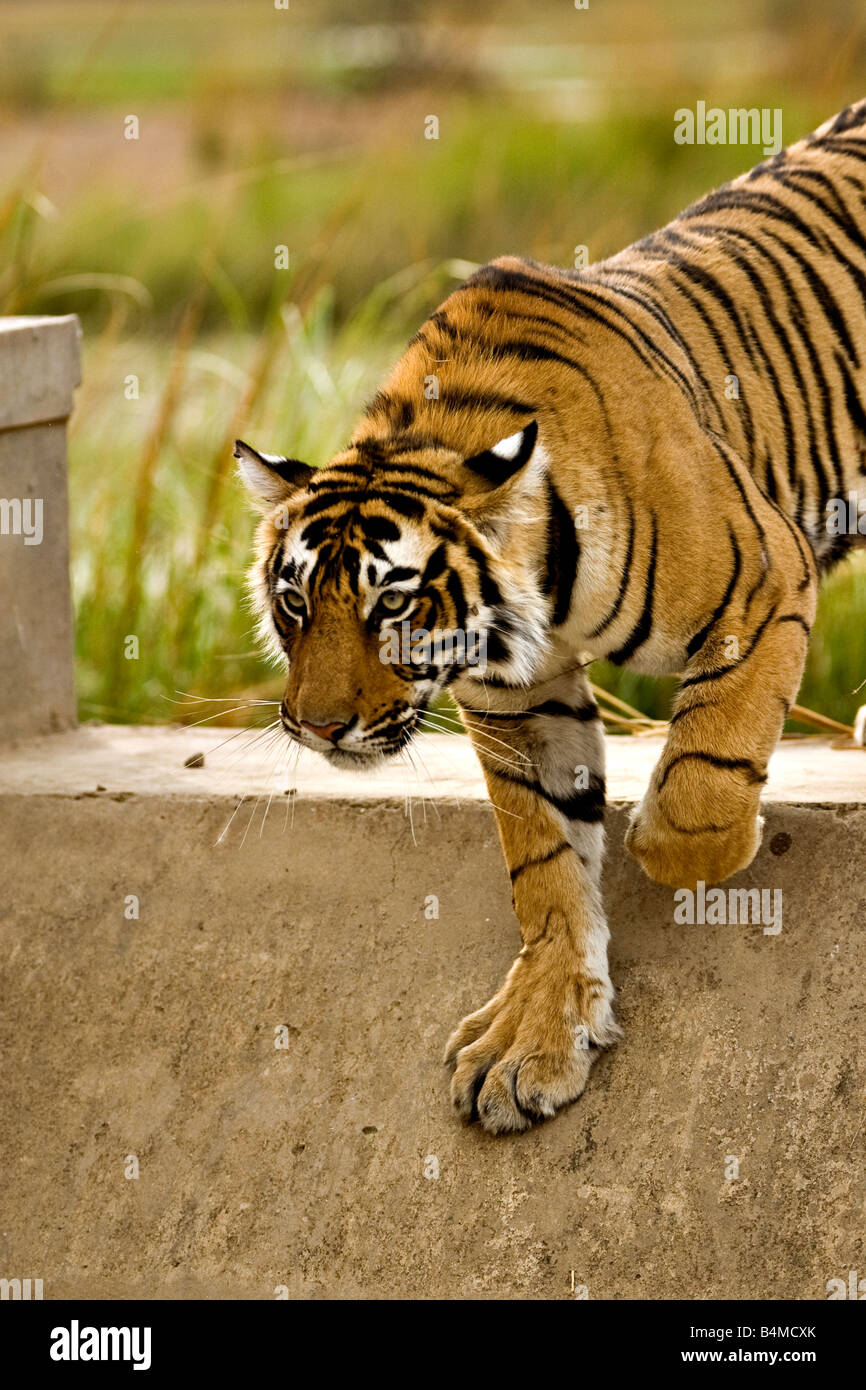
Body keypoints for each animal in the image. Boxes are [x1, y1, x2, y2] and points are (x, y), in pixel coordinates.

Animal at [235, 101, 866, 1134]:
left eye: (391, 602)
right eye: (294, 606)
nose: (318, 728)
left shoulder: (765, 577)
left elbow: (704, 775)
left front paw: (679, 844)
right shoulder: (516, 697)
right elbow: (544, 858)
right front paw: (534, 1035)